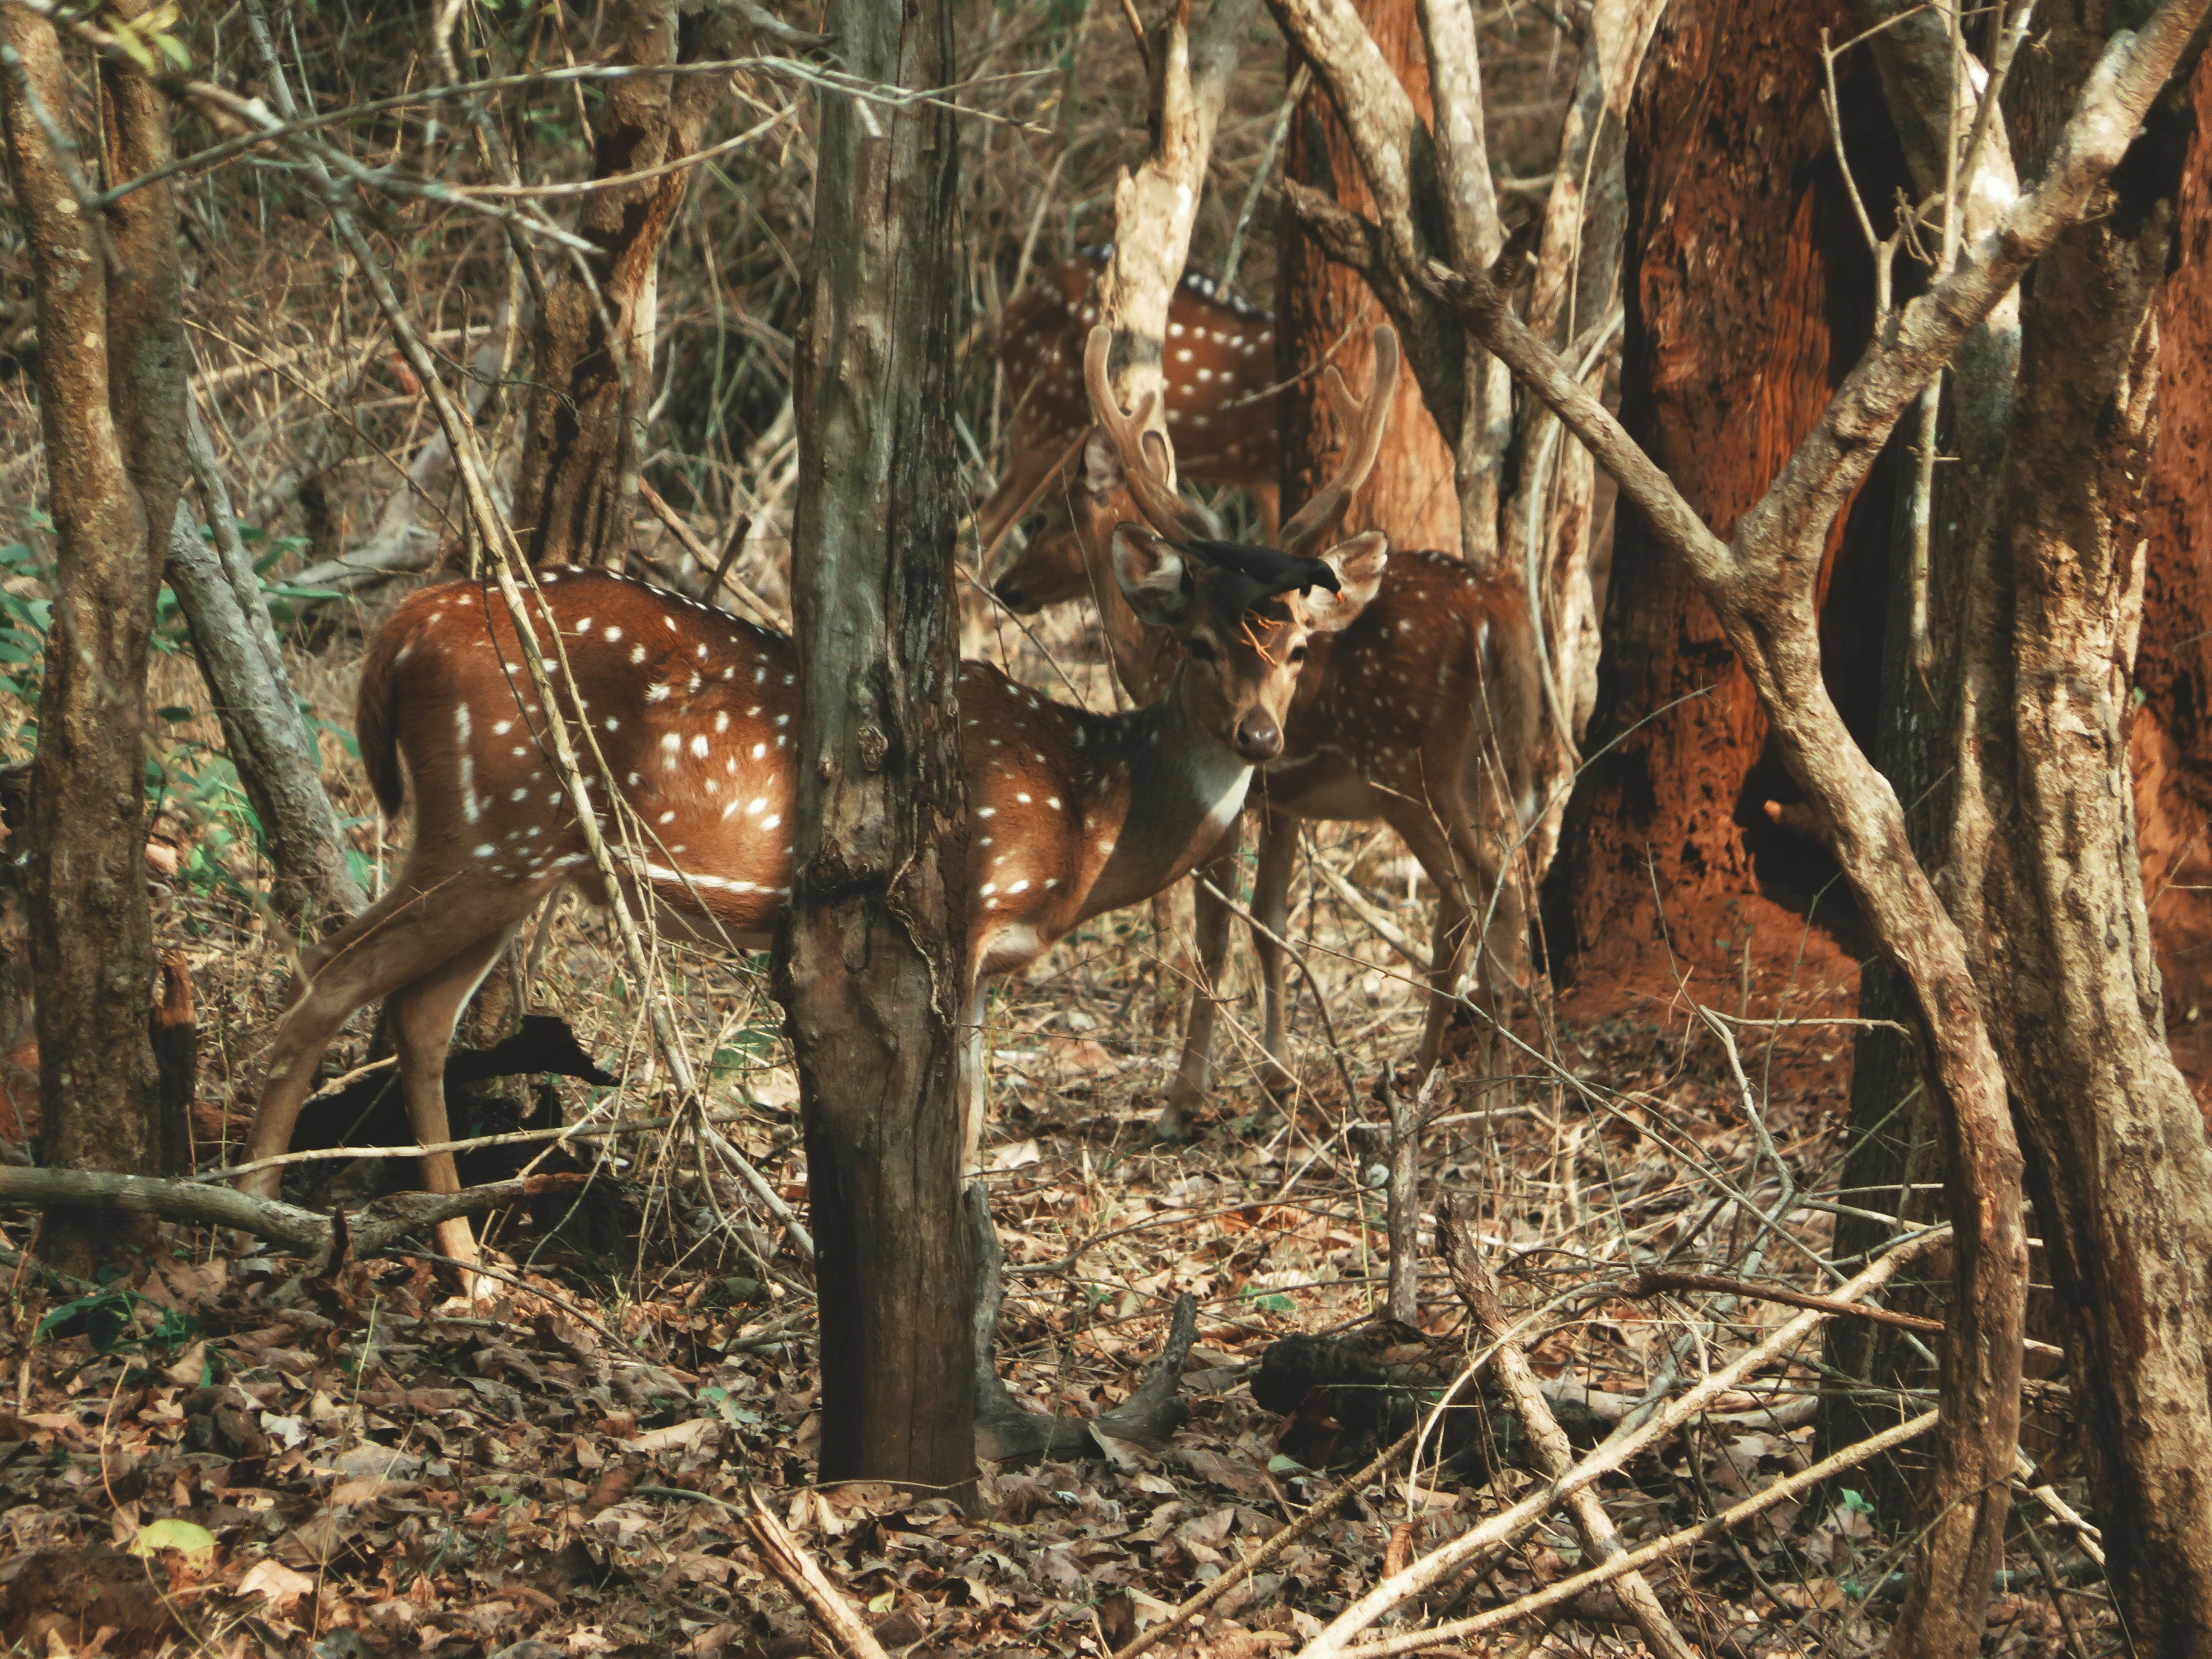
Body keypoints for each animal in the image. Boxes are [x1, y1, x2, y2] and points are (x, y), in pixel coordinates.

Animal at [235, 323, 1402, 1277]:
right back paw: (253, 1219)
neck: (1088, 812)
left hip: (518, 850)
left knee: (417, 1015)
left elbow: (972, 1125)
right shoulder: (965, 909)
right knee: (327, 977)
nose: (1259, 736)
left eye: (1300, 648)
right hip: (492, 823)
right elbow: (959, 1127)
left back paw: (467, 1262)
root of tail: (400, 634)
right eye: (1197, 640)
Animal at [990, 358, 1542, 1142]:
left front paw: (1182, 1100)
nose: (1007, 586)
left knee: (1485, 897)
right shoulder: (1283, 798)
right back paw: (1438, 1071)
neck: (1151, 661)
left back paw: (1484, 1095)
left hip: (1411, 763)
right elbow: (1273, 927)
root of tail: (1496, 604)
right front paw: (1277, 1080)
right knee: (1486, 891)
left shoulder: (1230, 790)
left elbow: (1218, 932)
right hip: (1496, 765)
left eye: (1051, 515)